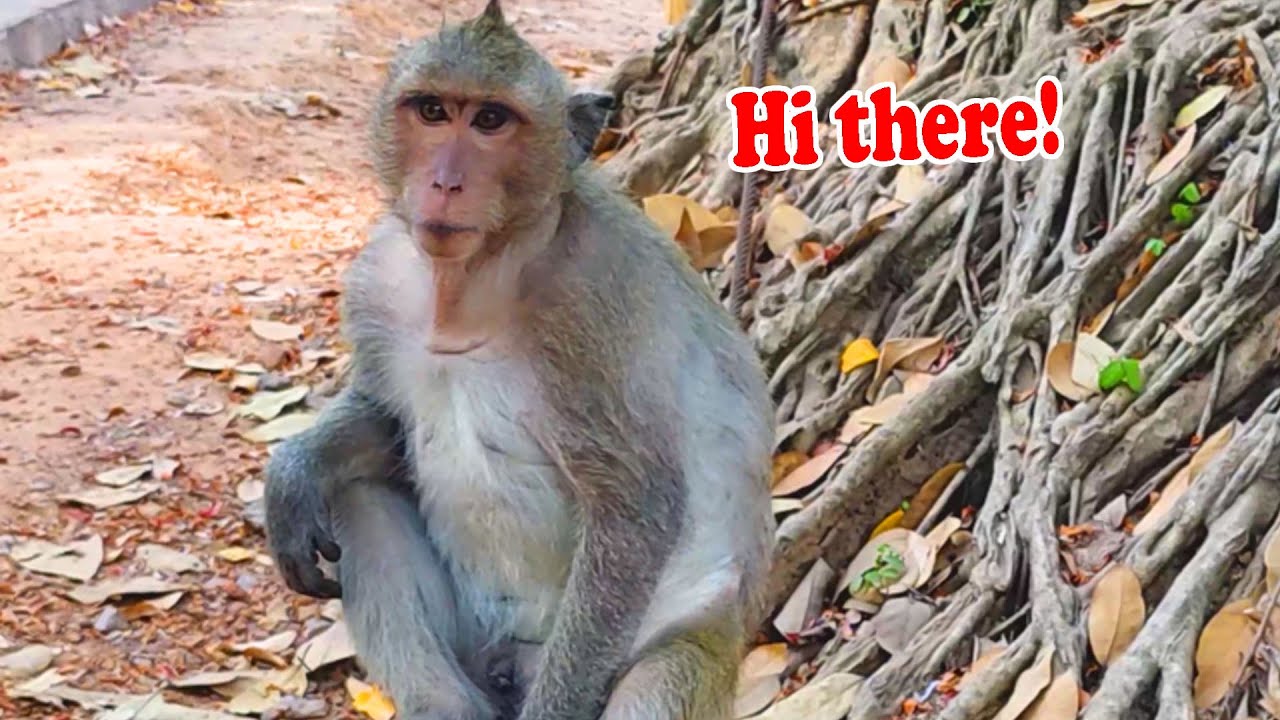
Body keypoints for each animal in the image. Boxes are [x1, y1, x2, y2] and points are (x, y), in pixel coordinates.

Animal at [262, 3, 776, 720]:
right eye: (432, 111)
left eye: (490, 121)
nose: (444, 182)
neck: (479, 281)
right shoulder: (376, 280)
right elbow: (383, 421)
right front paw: (294, 470)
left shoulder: (591, 309)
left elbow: (633, 506)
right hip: (475, 644)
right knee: (357, 499)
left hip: (682, 648)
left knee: (657, 678)